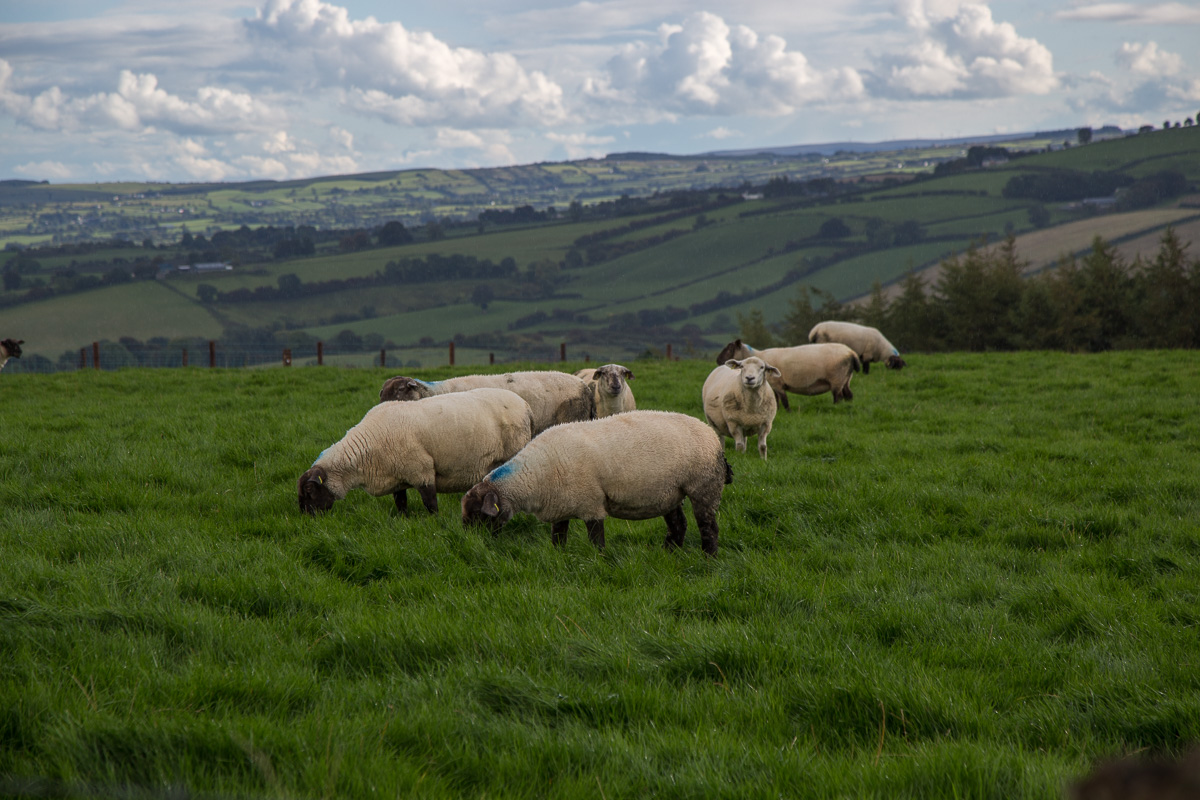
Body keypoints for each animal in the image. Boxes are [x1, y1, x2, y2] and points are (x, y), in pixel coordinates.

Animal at [298, 387, 534, 516]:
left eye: (309, 491)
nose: (307, 519)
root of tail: (525, 404)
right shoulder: (396, 476)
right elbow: (401, 504)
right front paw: (404, 521)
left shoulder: (422, 471)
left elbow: (430, 503)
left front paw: (435, 522)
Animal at [461, 410, 733, 556]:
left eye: (478, 514)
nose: (473, 544)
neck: (535, 475)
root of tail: (712, 435)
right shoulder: (561, 506)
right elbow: (558, 538)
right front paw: (559, 557)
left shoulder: (591, 504)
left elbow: (596, 542)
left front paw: (597, 562)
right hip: (669, 492)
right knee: (678, 524)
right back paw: (669, 553)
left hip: (704, 486)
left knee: (708, 526)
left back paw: (708, 557)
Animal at [715, 339, 861, 410]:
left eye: (730, 349)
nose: (718, 360)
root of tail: (851, 353)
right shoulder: (772, 386)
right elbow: (775, 400)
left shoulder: (778, 384)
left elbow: (784, 400)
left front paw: (788, 412)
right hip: (846, 378)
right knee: (849, 395)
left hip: (837, 378)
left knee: (838, 396)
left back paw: (836, 407)